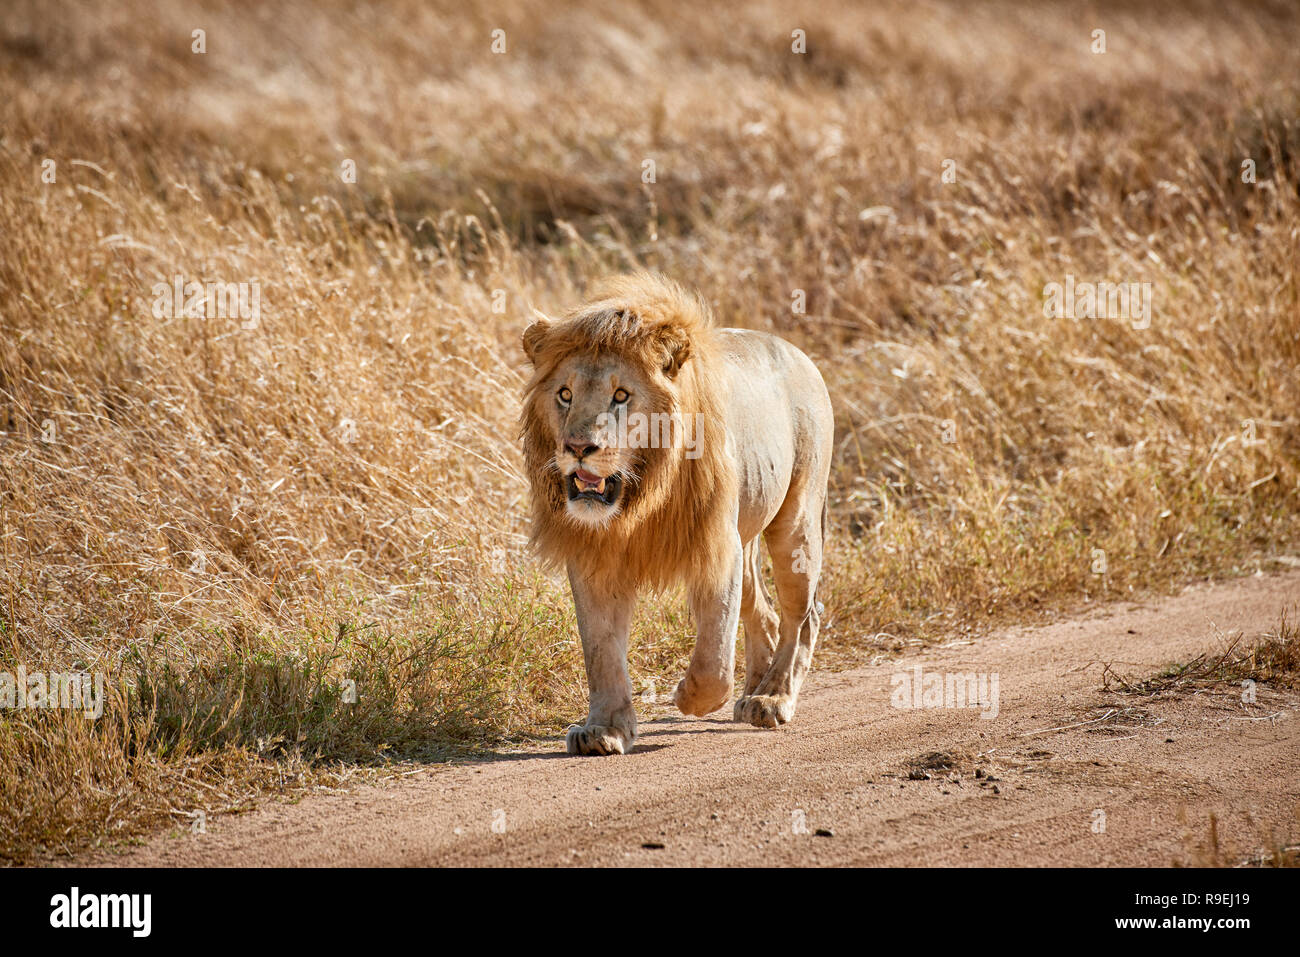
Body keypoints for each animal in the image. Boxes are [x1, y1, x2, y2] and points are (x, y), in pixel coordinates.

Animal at [519, 273, 833, 755]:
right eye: (565, 394)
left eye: (621, 396)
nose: (577, 447)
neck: (639, 497)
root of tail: (797, 351)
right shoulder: (594, 556)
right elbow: (601, 650)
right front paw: (604, 728)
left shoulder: (718, 547)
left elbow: (713, 658)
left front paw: (688, 696)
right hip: (748, 537)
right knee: (764, 612)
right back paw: (754, 690)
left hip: (796, 522)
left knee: (803, 615)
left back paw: (772, 698)